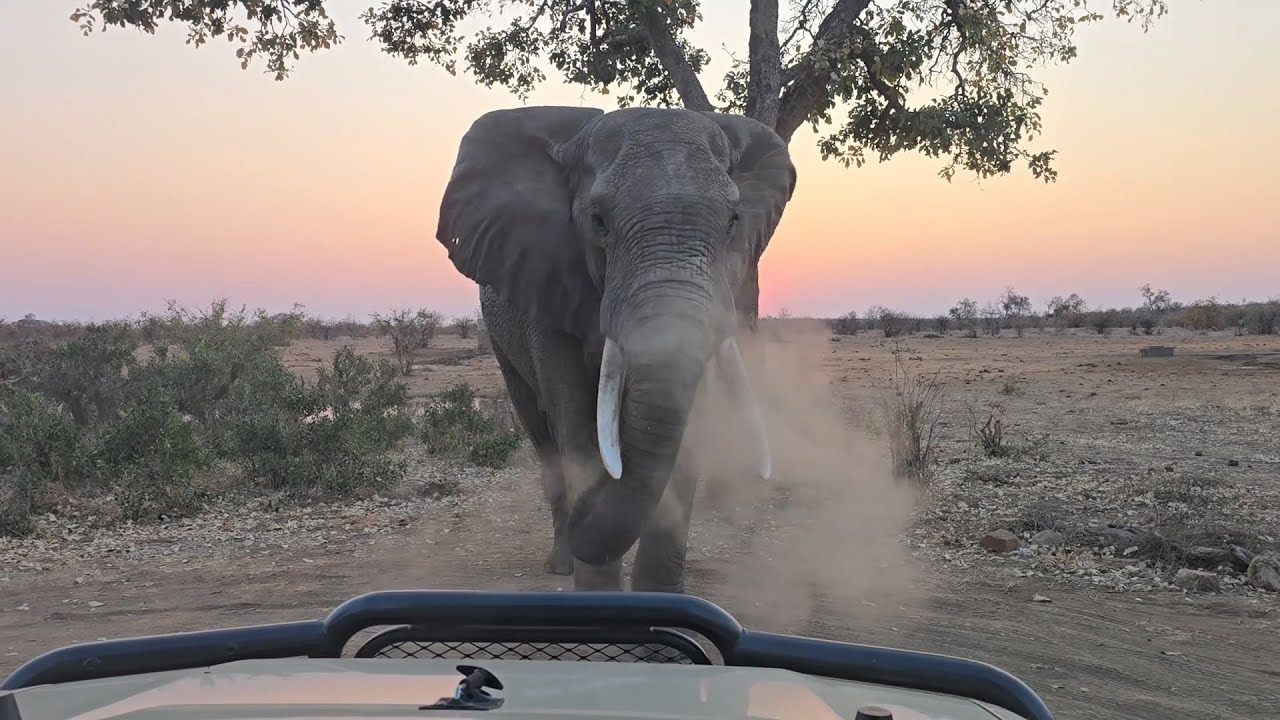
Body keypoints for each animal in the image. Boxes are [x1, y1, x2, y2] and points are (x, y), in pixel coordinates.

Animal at [435, 105, 796, 592]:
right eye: (598, 221)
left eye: (733, 221)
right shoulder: (546, 285)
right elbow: (576, 421)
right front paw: (600, 594)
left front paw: (659, 597)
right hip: (499, 338)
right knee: (542, 431)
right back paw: (561, 563)